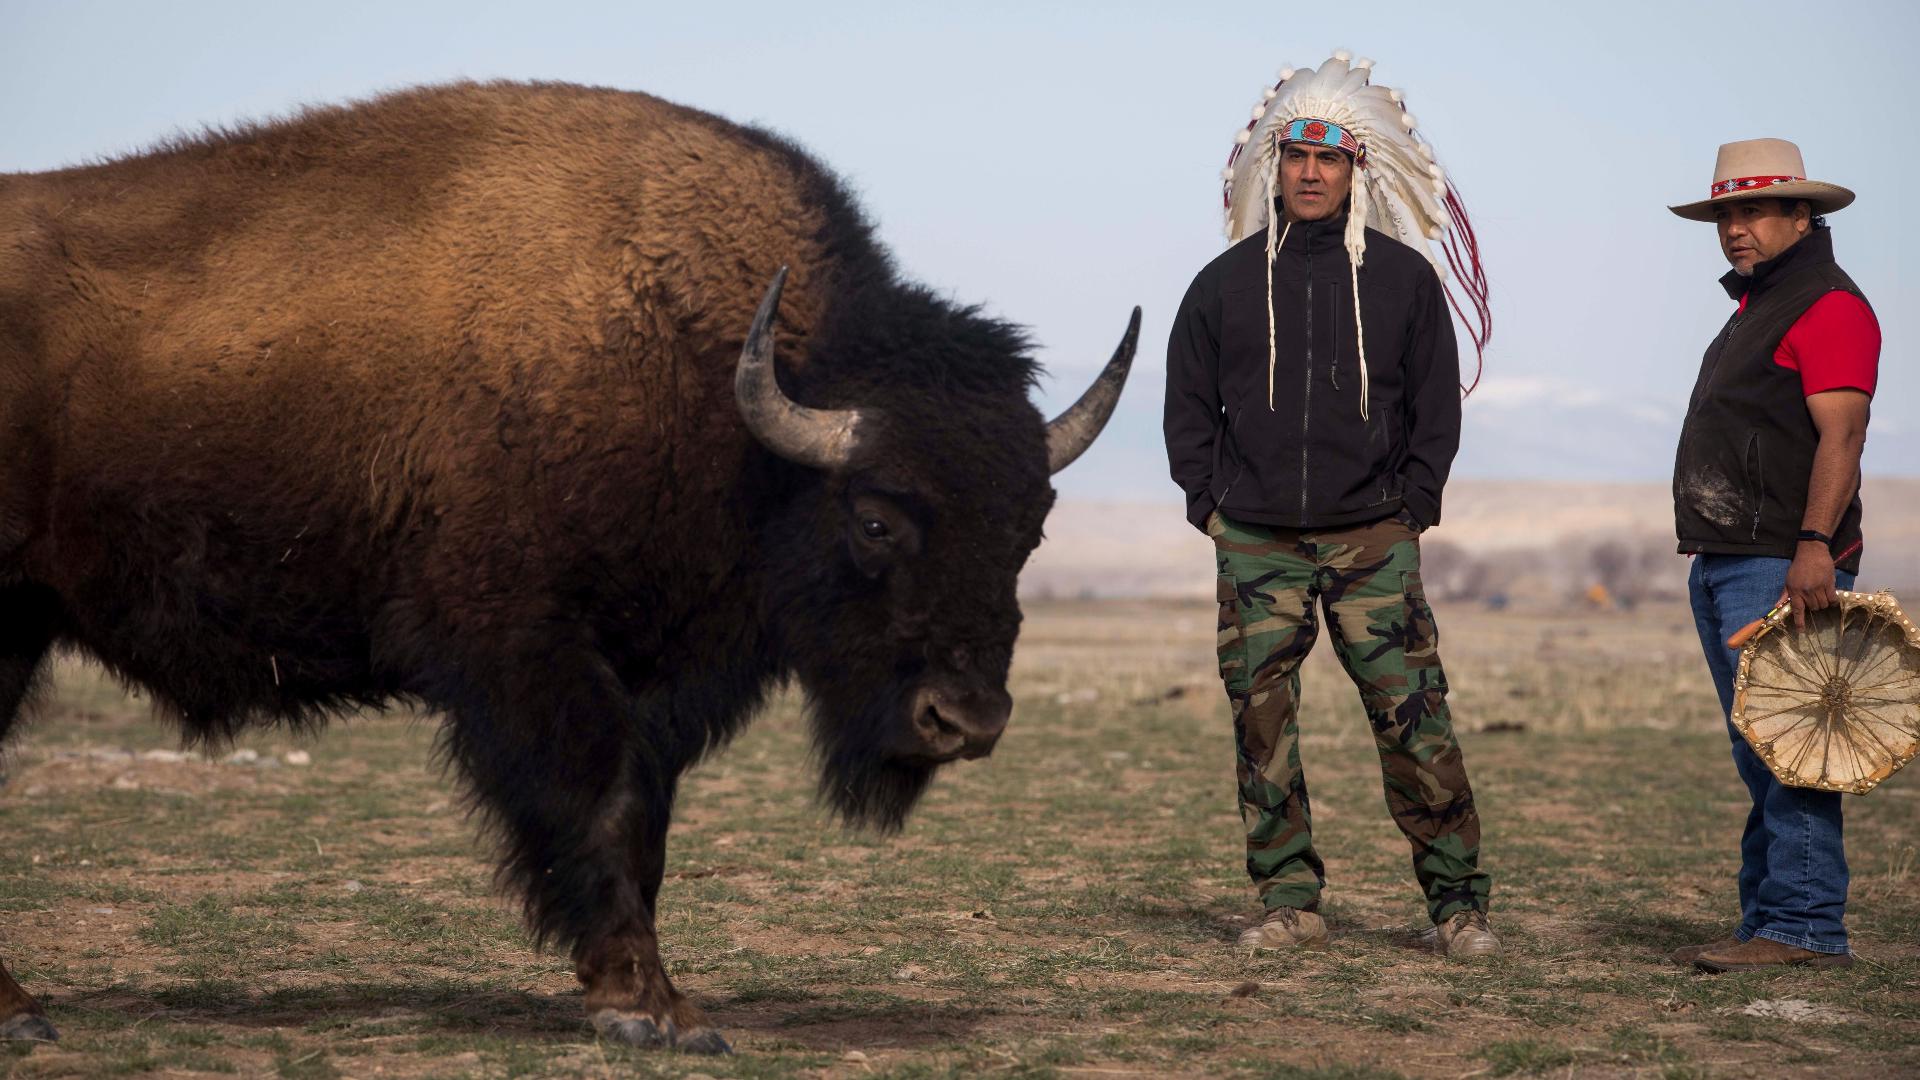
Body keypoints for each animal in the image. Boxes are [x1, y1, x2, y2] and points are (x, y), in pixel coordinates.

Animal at [0, 81, 1136, 1053]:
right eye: (875, 519)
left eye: (1032, 527)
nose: (965, 720)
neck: (716, 387)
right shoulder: (531, 652)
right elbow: (594, 806)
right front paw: (653, 1012)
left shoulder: (656, 681)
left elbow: (645, 828)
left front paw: (645, 1001)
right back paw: (25, 1016)